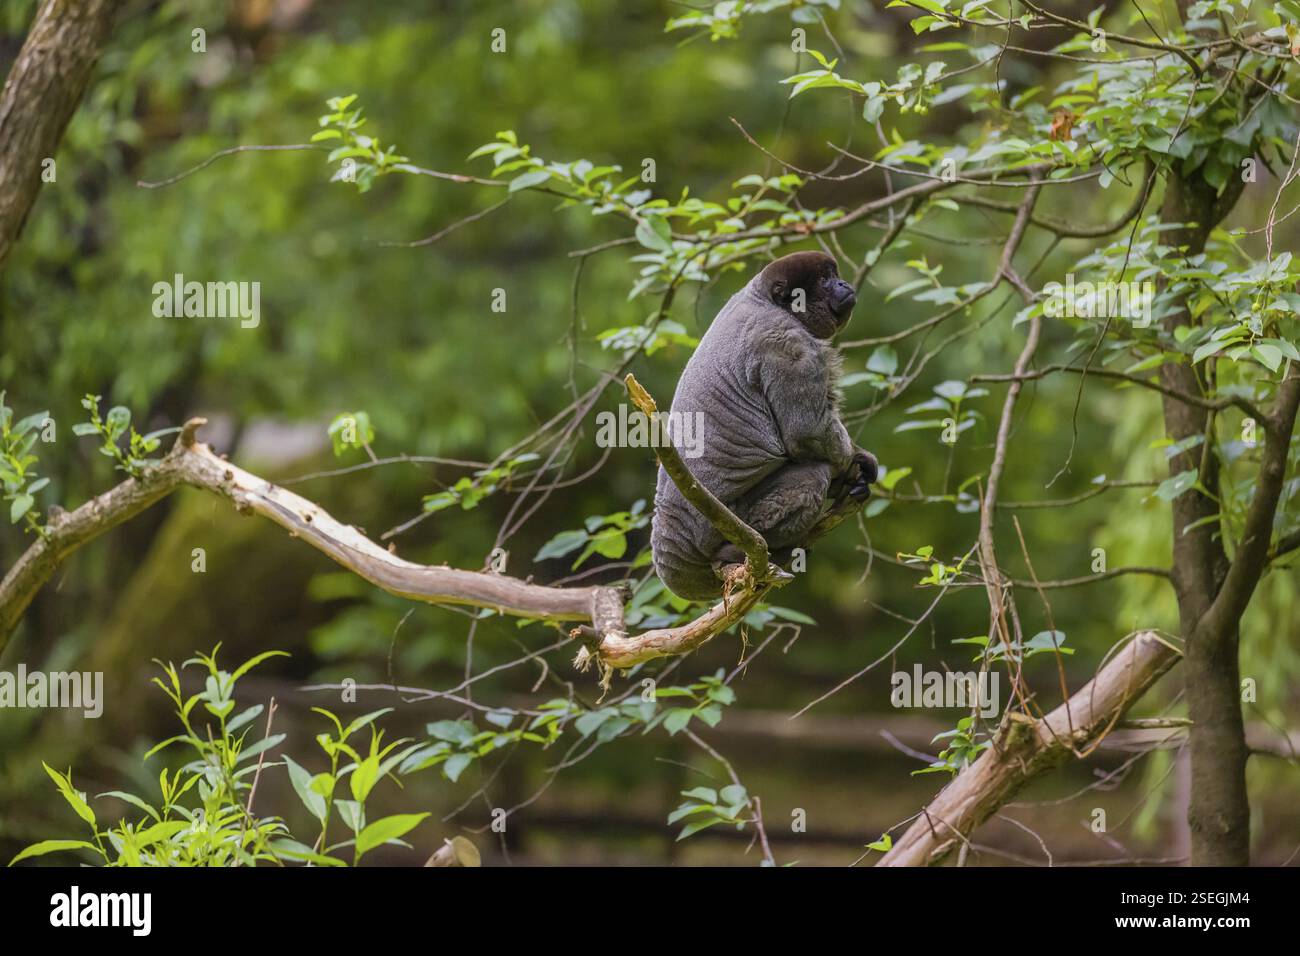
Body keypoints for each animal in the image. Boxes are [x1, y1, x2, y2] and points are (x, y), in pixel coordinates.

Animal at [649, 250, 878, 601]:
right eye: (825, 280)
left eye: (835, 276)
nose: (842, 284)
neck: (763, 299)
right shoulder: (788, 342)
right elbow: (806, 432)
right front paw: (855, 462)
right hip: (727, 520)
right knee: (813, 472)